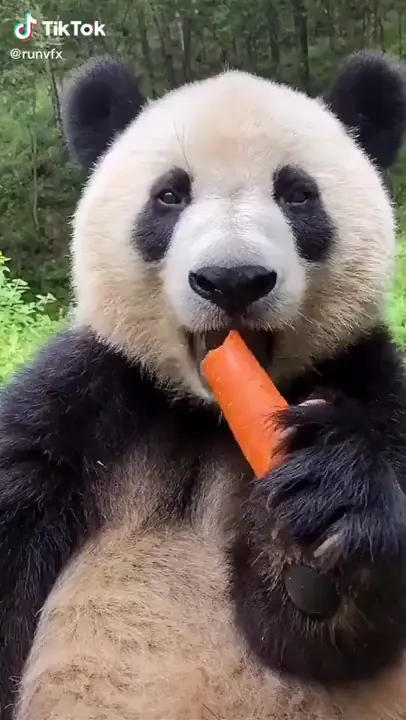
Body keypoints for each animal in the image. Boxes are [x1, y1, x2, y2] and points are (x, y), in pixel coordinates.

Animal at [1, 49, 406, 720]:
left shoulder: (368, 379)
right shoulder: (81, 401)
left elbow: (322, 635)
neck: (205, 416)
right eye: (169, 196)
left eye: (298, 195)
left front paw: (329, 506)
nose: (232, 279)